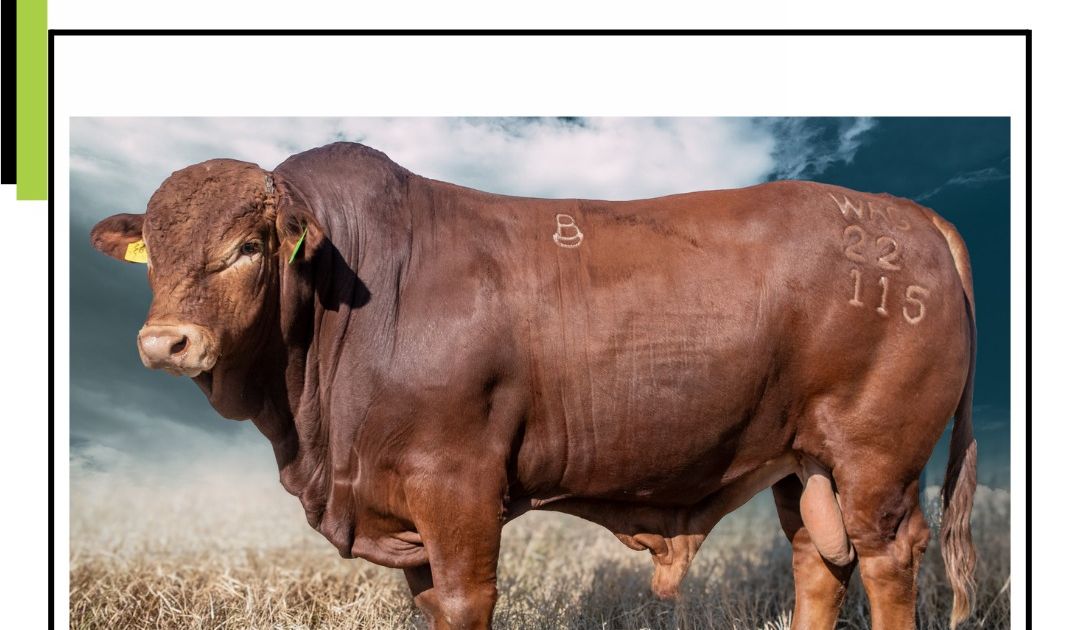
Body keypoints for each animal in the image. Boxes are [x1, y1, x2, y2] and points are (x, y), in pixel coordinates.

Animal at [90, 141, 977, 629]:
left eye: (247, 247)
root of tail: (901, 213)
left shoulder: (457, 488)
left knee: (889, 560)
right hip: (805, 464)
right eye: (153, 250)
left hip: (877, 461)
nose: (165, 342)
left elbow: (464, 603)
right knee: (819, 564)